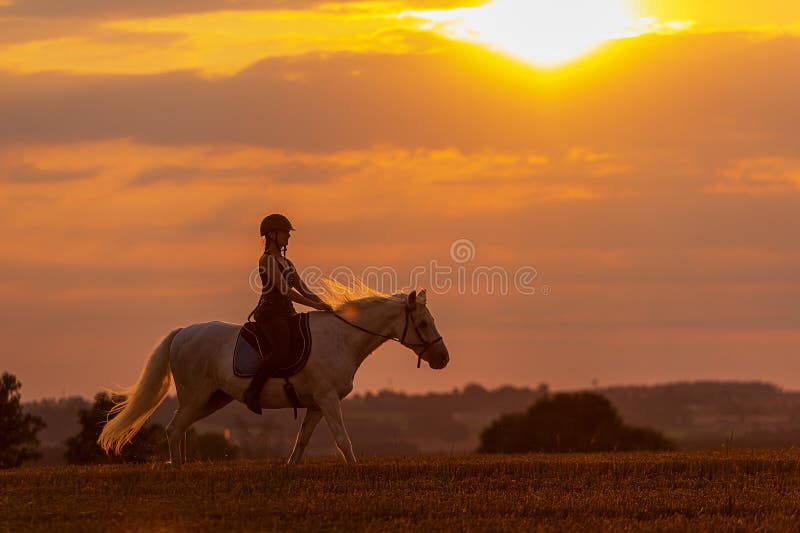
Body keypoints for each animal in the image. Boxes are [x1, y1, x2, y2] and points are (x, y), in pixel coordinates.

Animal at [98, 288, 449, 466]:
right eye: (423, 323)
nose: (443, 359)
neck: (342, 338)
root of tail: (183, 332)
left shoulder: (317, 403)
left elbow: (302, 441)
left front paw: (289, 471)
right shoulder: (328, 398)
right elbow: (342, 439)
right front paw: (357, 473)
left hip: (212, 399)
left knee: (179, 429)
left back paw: (182, 467)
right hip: (195, 396)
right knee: (173, 429)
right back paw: (179, 471)